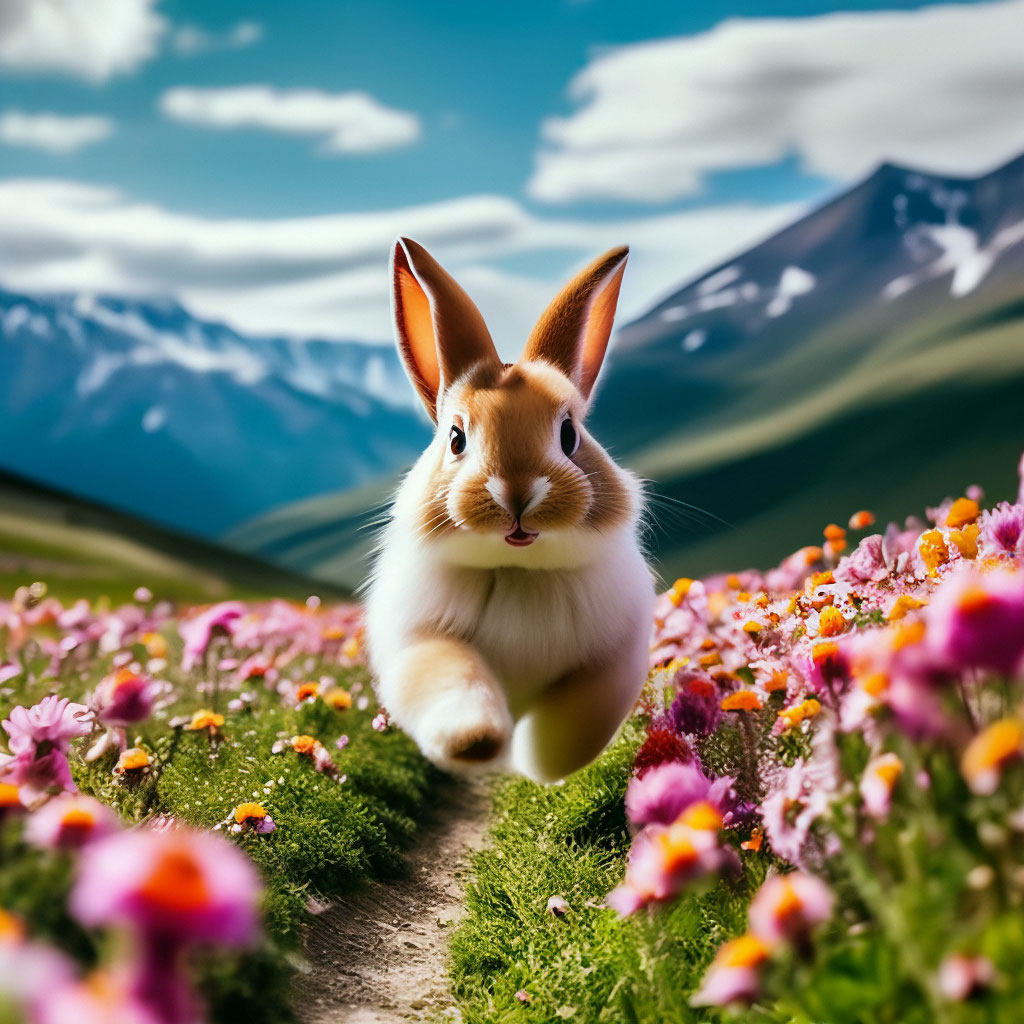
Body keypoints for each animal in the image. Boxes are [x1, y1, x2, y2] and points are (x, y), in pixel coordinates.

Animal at [364, 238, 654, 784]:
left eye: (570, 435)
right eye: (456, 438)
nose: (517, 495)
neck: (519, 570)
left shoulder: (611, 665)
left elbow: (572, 728)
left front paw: (541, 768)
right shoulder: (424, 646)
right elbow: (456, 685)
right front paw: (477, 745)